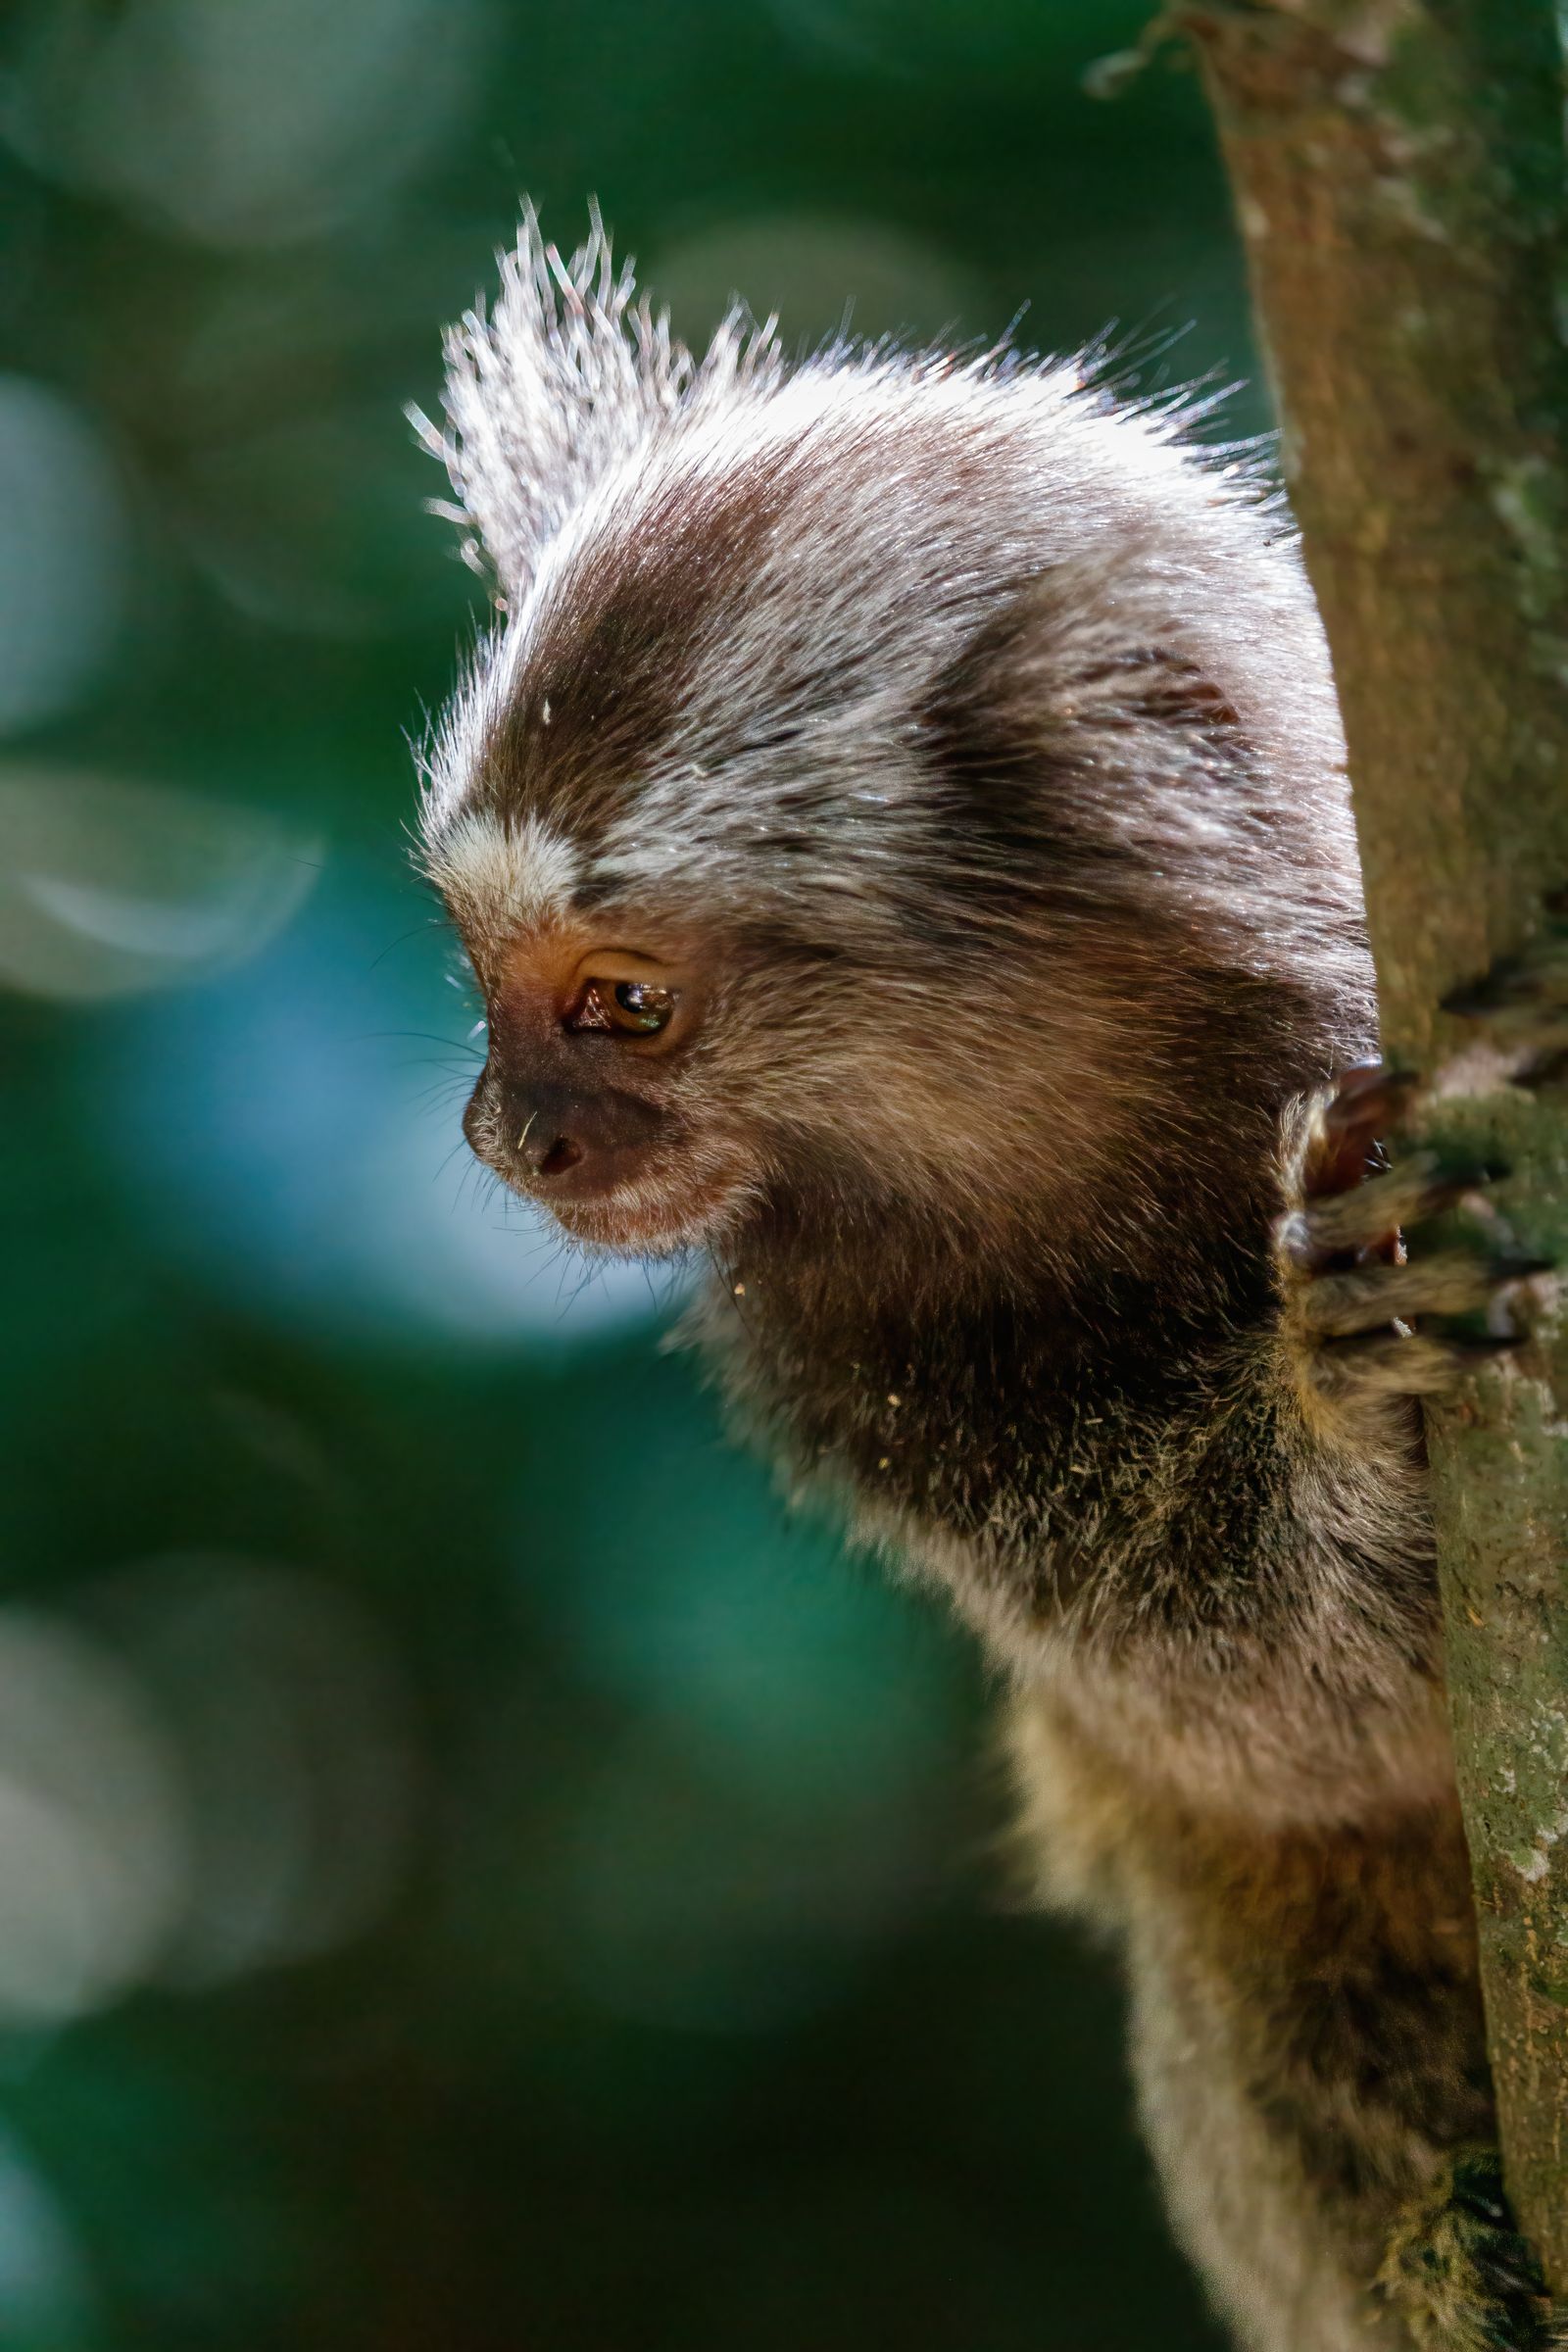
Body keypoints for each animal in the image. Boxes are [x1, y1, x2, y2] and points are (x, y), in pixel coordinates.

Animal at [411, 212, 1568, 2351]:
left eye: (621, 1005)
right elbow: (1283, 1717)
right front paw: (1350, 1373)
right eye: (484, 979)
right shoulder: (835, 1355)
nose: (503, 1135)